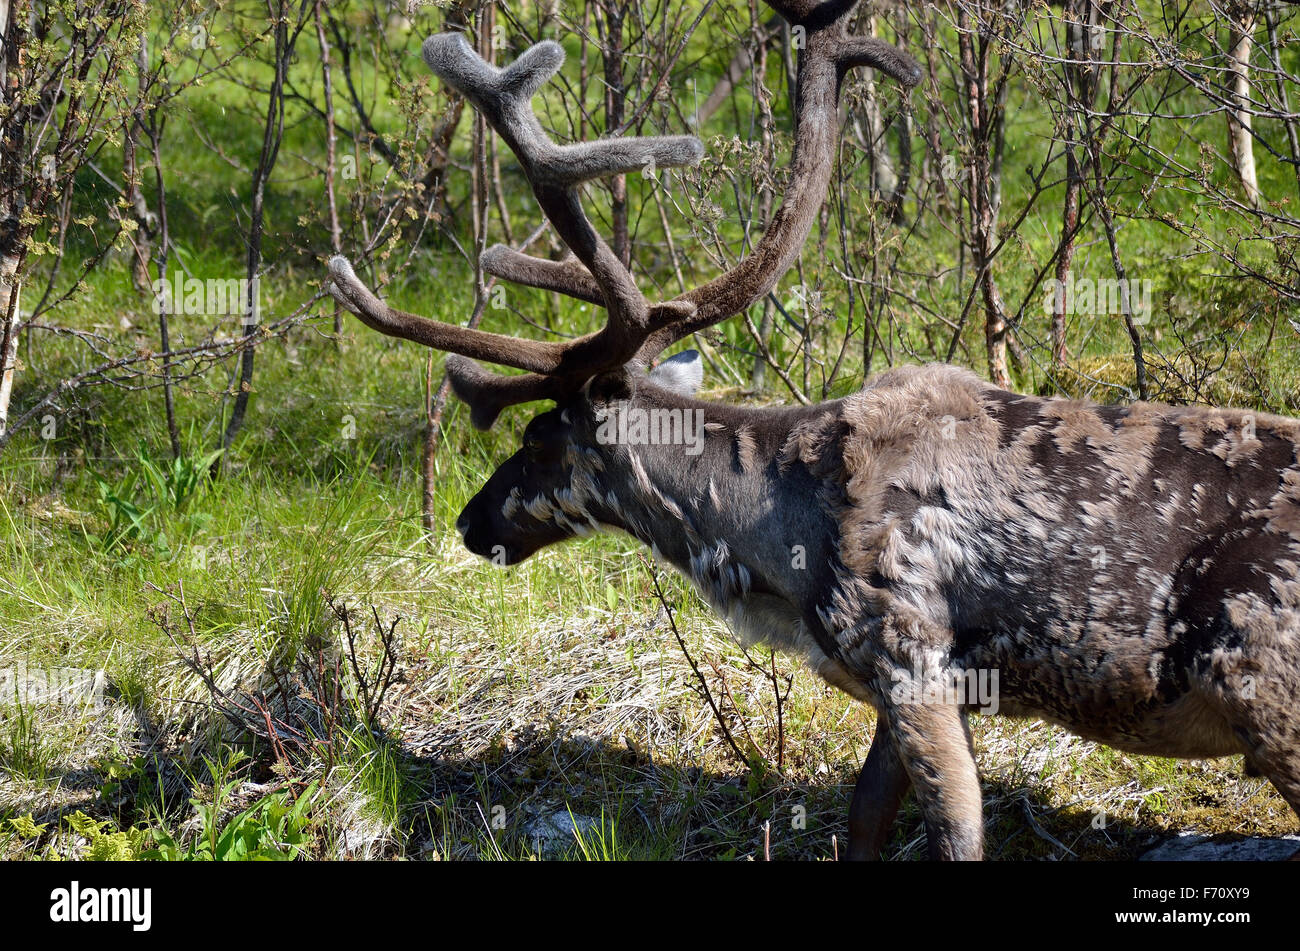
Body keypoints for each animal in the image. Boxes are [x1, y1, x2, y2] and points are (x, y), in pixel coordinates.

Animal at [325, 0, 1300, 860]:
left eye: (536, 440)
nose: (468, 521)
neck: (774, 547)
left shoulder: (912, 657)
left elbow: (954, 834)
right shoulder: (897, 695)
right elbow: (862, 822)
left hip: (1264, 683)